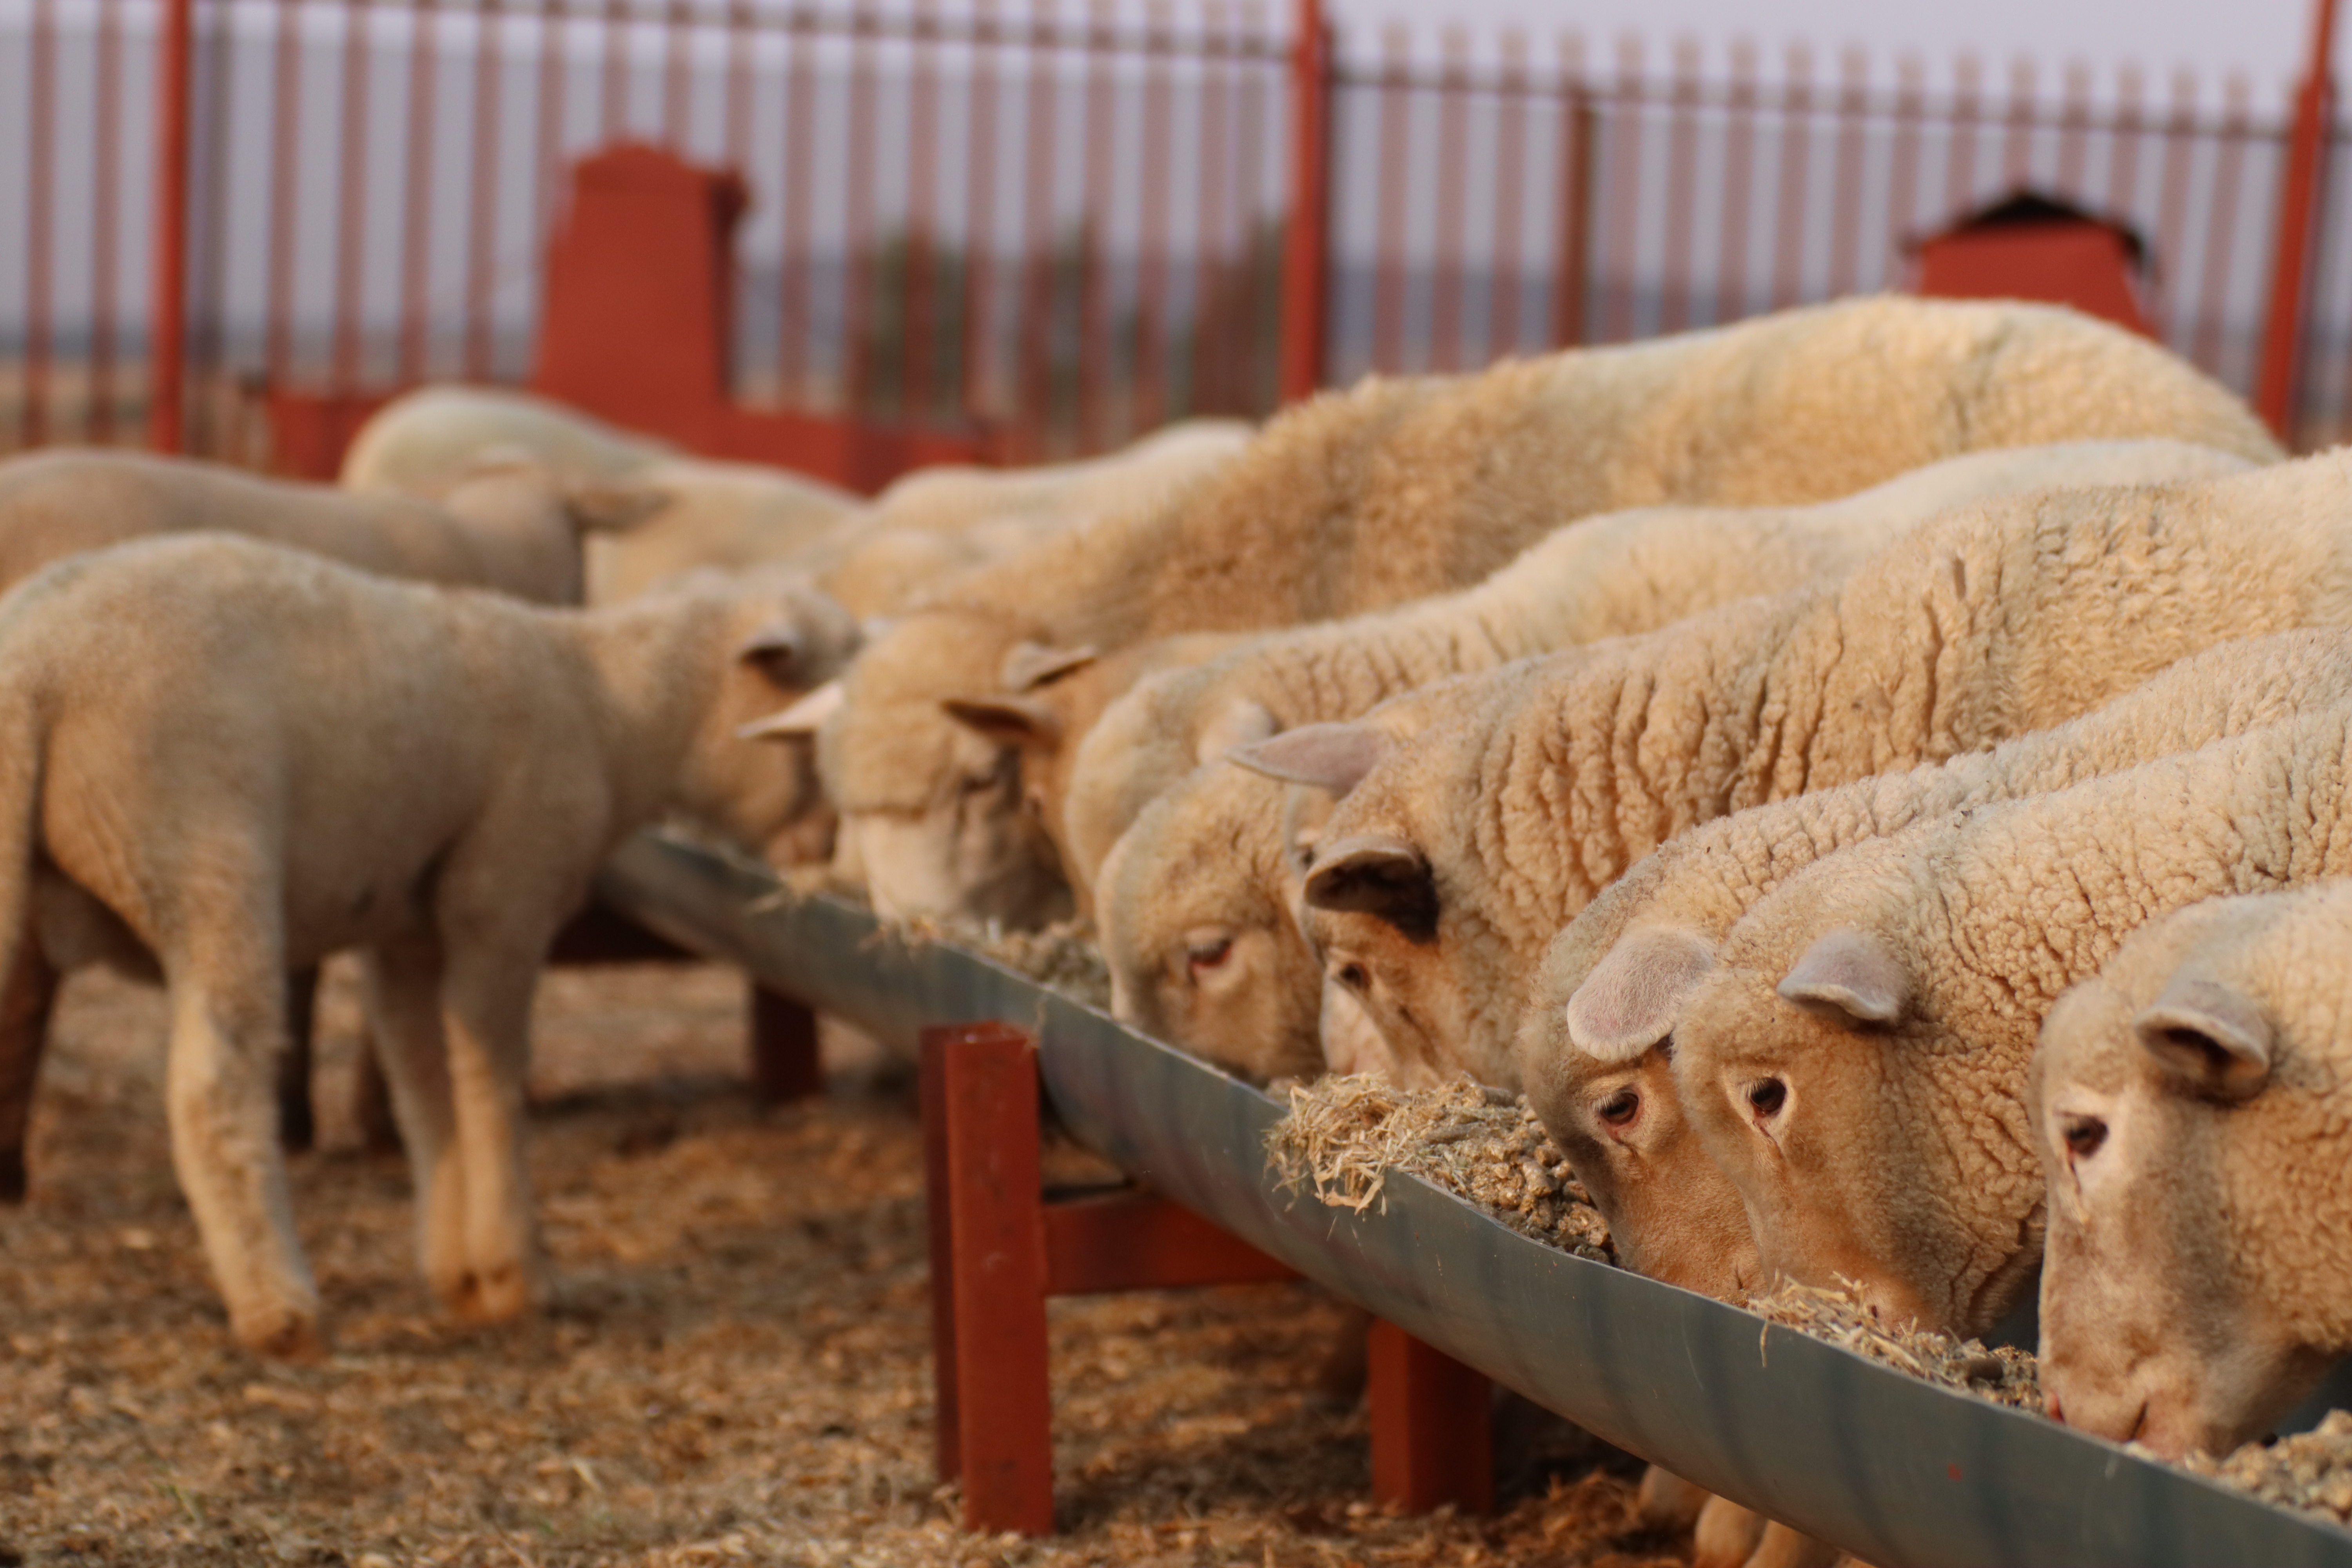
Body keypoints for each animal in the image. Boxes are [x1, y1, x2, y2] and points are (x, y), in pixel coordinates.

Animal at [0, 533, 859, 1353]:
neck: (609, 711)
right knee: (215, 1089)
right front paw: (518, 1273)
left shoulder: (405, 930)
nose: (832, 850)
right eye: (811, 727)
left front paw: (460, 1273)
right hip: (204, 853)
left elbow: (423, 1083)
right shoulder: (505, 887)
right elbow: (490, 1076)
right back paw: (279, 1310)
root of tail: (37, 668)